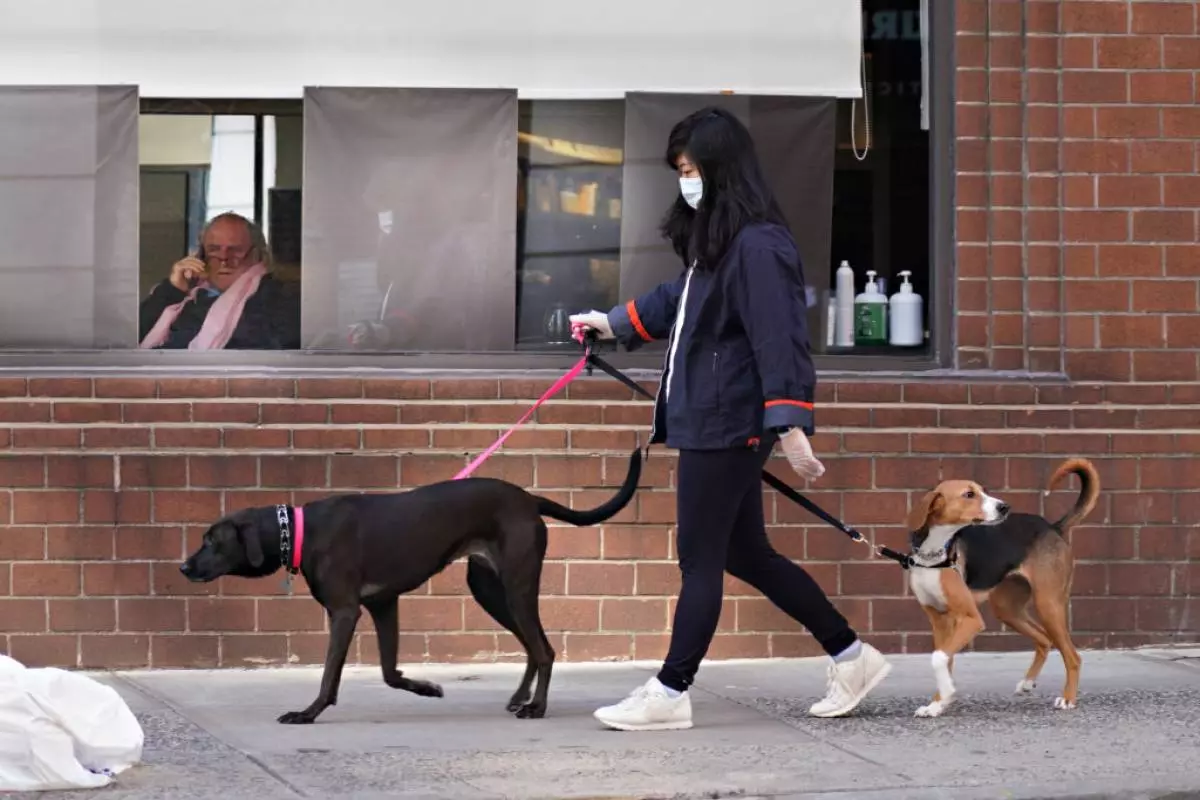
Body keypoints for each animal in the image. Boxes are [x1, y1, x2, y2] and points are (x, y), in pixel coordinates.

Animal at [178, 450, 643, 724]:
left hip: (517, 585)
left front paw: (308, 712)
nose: (183, 567)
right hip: (489, 591)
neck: (300, 531)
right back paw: (519, 697)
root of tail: (529, 499)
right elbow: (388, 673)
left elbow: (330, 674)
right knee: (532, 646)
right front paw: (426, 687)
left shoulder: (345, 611)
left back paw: (537, 707)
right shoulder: (384, 604)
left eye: (212, 541)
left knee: (544, 649)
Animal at [902, 462, 1099, 719]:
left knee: (1073, 656)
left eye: (983, 490)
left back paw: (1067, 699)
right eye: (969, 494)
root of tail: (1053, 528)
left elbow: (938, 658)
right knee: (1044, 640)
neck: (935, 556)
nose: (1004, 507)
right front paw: (938, 703)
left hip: (1048, 604)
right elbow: (944, 660)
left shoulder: (971, 619)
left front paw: (945, 695)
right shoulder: (939, 620)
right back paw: (1028, 682)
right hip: (1008, 610)